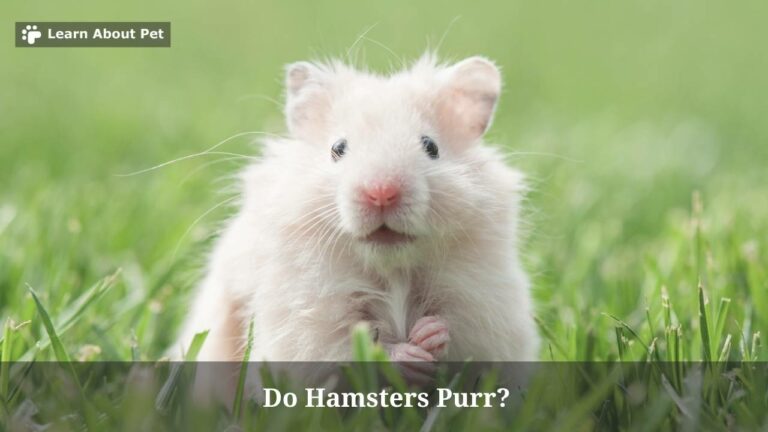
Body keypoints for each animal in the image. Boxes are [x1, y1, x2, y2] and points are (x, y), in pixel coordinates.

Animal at [175, 53, 539, 386]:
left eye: (431, 146)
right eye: (338, 148)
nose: (382, 192)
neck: (391, 268)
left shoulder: (485, 307)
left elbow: (460, 334)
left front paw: (429, 333)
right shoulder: (307, 321)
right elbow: (353, 347)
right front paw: (409, 355)